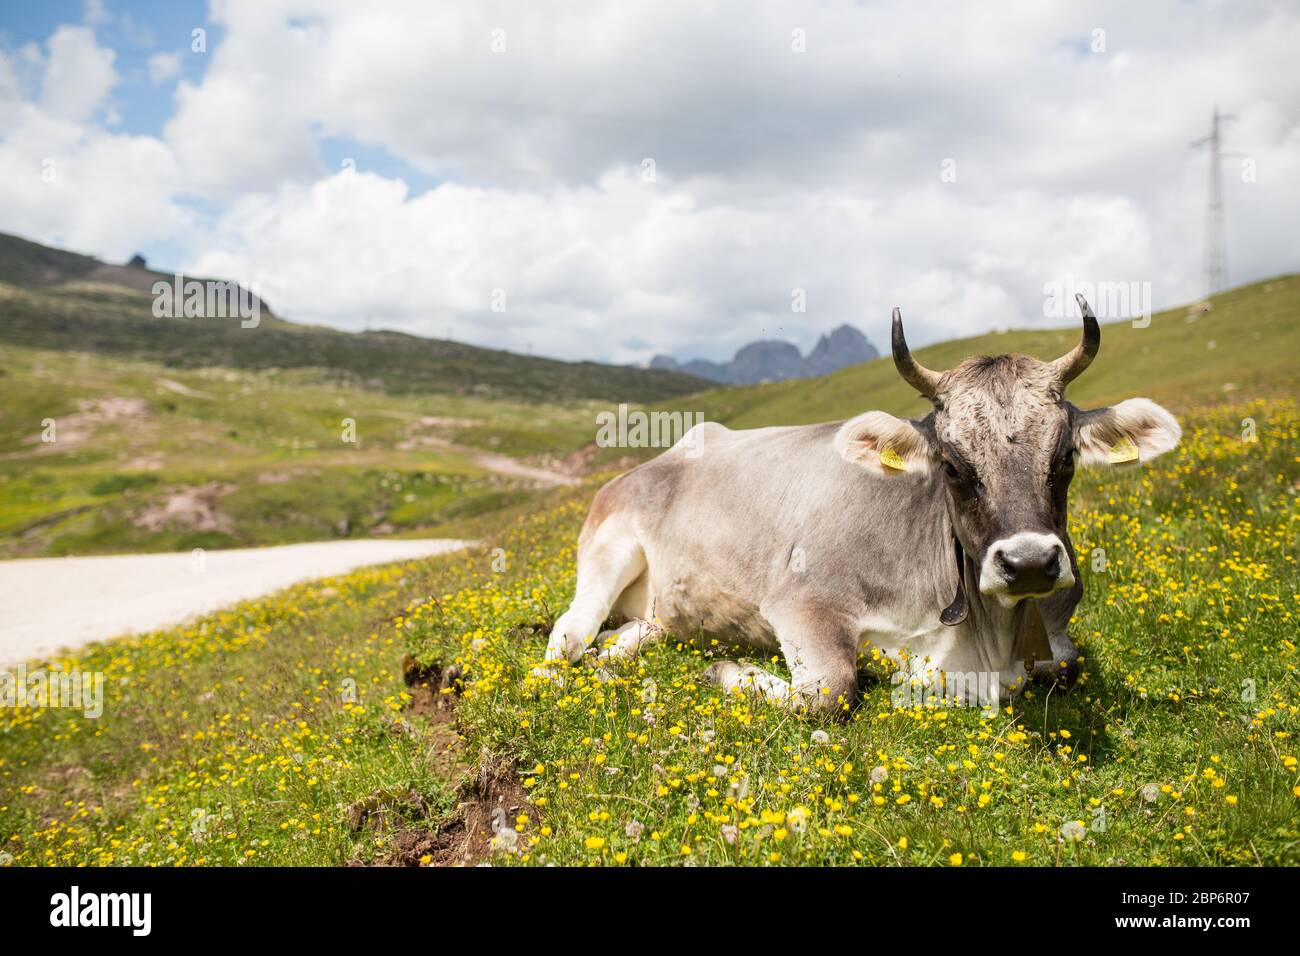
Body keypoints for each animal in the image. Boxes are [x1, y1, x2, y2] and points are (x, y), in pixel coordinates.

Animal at [539, 296, 1180, 713]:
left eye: (1066, 457)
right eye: (951, 465)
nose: (1028, 564)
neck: (986, 643)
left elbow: (1067, 664)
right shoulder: (801, 602)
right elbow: (831, 691)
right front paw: (728, 670)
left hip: (662, 606)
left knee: (638, 629)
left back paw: (615, 654)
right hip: (610, 544)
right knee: (569, 634)